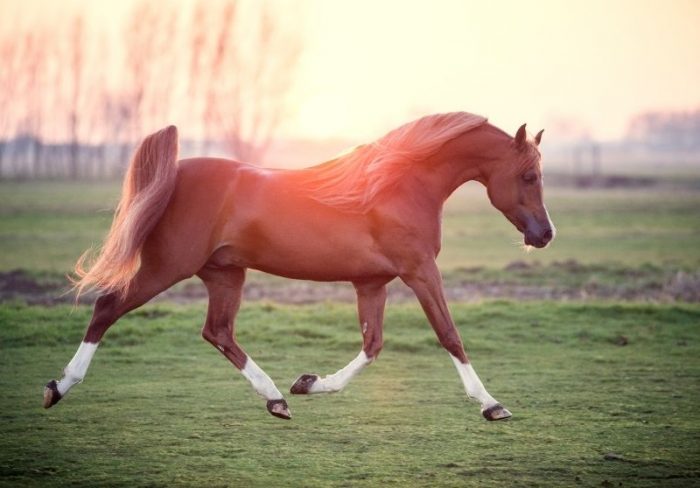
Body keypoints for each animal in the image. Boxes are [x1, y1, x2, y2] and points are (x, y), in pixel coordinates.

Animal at [43, 112, 555, 421]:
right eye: (529, 175)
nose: (545, 235)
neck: (399, 186)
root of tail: (176, 172)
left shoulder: (372, 283)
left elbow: (372, 345)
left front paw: (309, 384)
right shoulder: (420, 272)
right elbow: (449, 335)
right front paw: (492, 404)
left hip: (224, 274)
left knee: (218, 332)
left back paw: (276, 399)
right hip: (166, 266)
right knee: (108, 308)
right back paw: (58, 387)